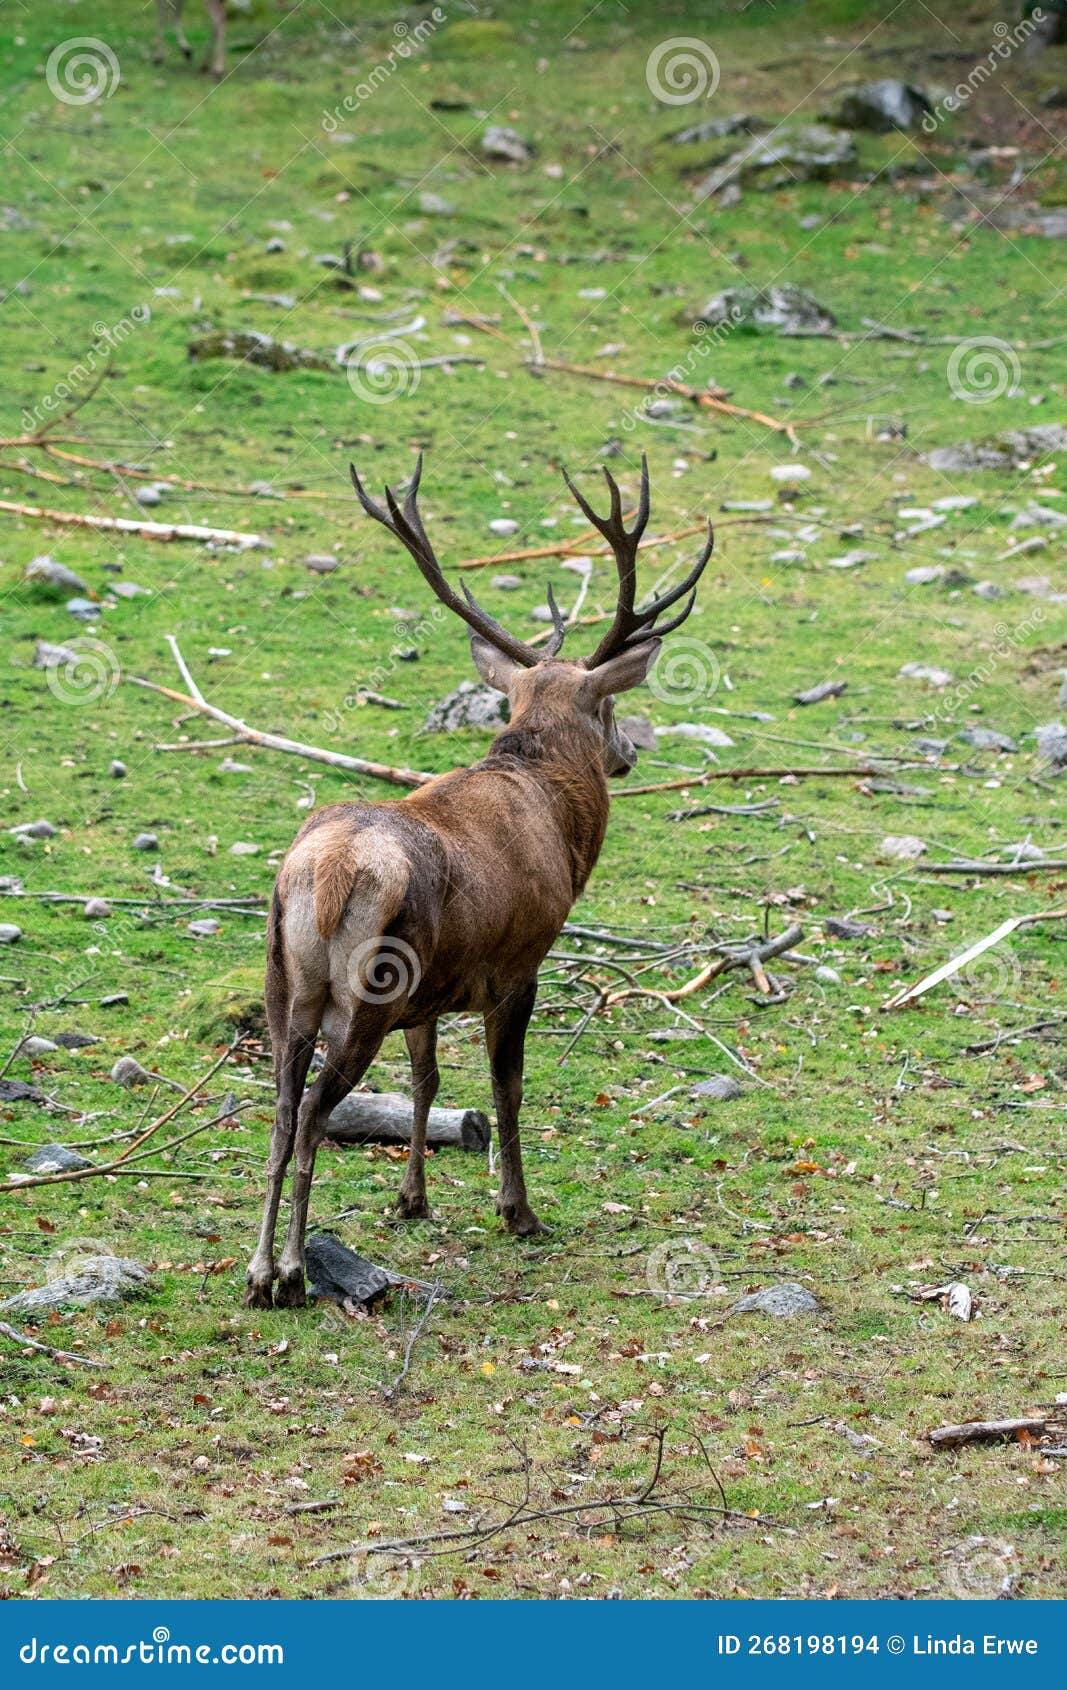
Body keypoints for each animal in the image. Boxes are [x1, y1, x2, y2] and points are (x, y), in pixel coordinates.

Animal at [245, 455, 712, 1309]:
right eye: (611, 707)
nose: (629, 753)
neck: (561, 825)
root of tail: (323, 875)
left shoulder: (430, 995)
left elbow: (428, 1081)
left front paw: (411, 1199)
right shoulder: (518, 965)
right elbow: (506, 1089)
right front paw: (518, 1211)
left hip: (282, 983)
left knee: (280, 1110)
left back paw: (259, 1268)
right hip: (367, 989)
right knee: (314, 1114)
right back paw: (291, 1271)